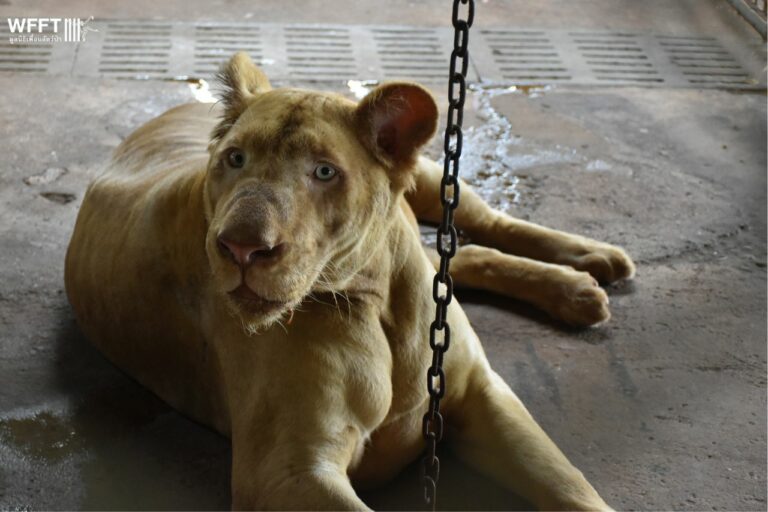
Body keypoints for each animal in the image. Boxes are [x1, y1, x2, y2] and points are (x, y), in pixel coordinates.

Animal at [64, 52, 634, 510]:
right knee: (463, 255)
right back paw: (580, 288)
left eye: (324, 172)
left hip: (436, 176)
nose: (241, 248)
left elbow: (570, 484)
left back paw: (592, 266)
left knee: (483, 228)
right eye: (235, 159)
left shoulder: (482, 392)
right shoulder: (285, 470)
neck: (375, 293)